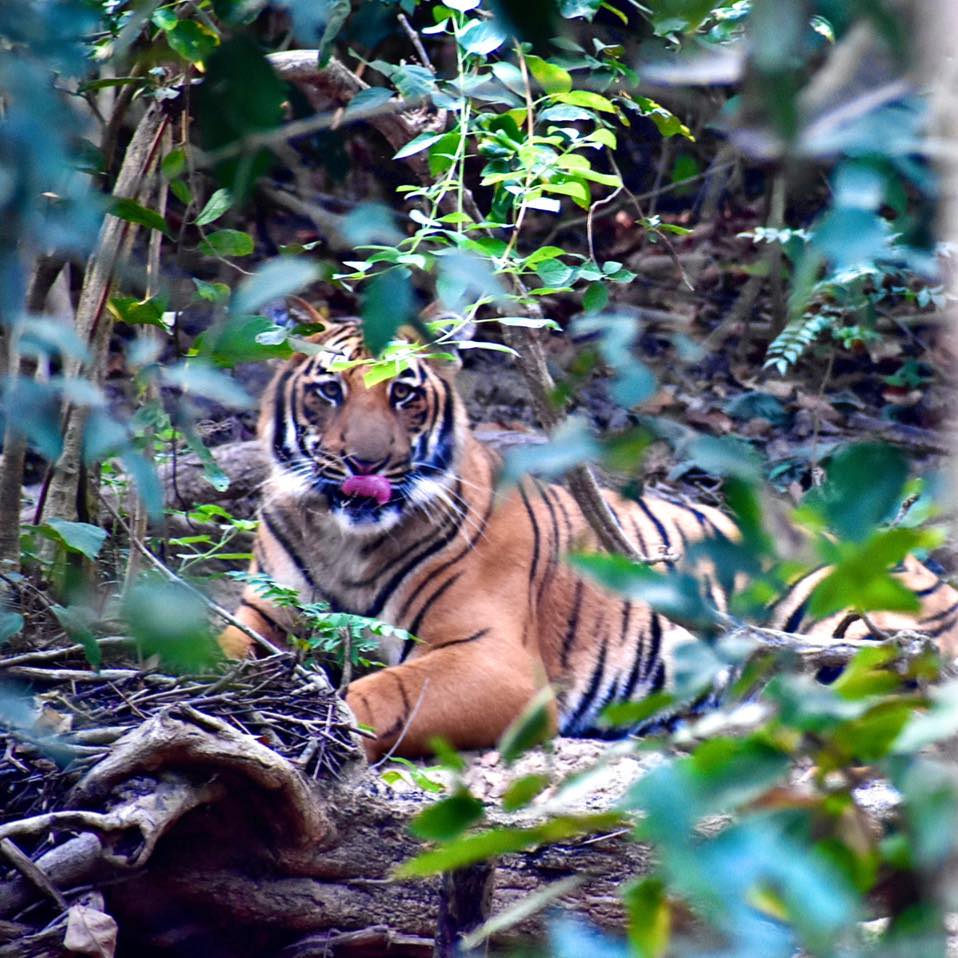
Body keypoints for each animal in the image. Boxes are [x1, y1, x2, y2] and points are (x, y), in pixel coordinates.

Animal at [218, 309, 958, 760]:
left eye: (403, 393)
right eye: (329, 392)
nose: (366, 464)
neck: (348, 540)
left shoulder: (494, 661)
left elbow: (375, 695)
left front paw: (311, 728)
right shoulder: (260, 617)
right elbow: (217, 655)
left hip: (854, 627)